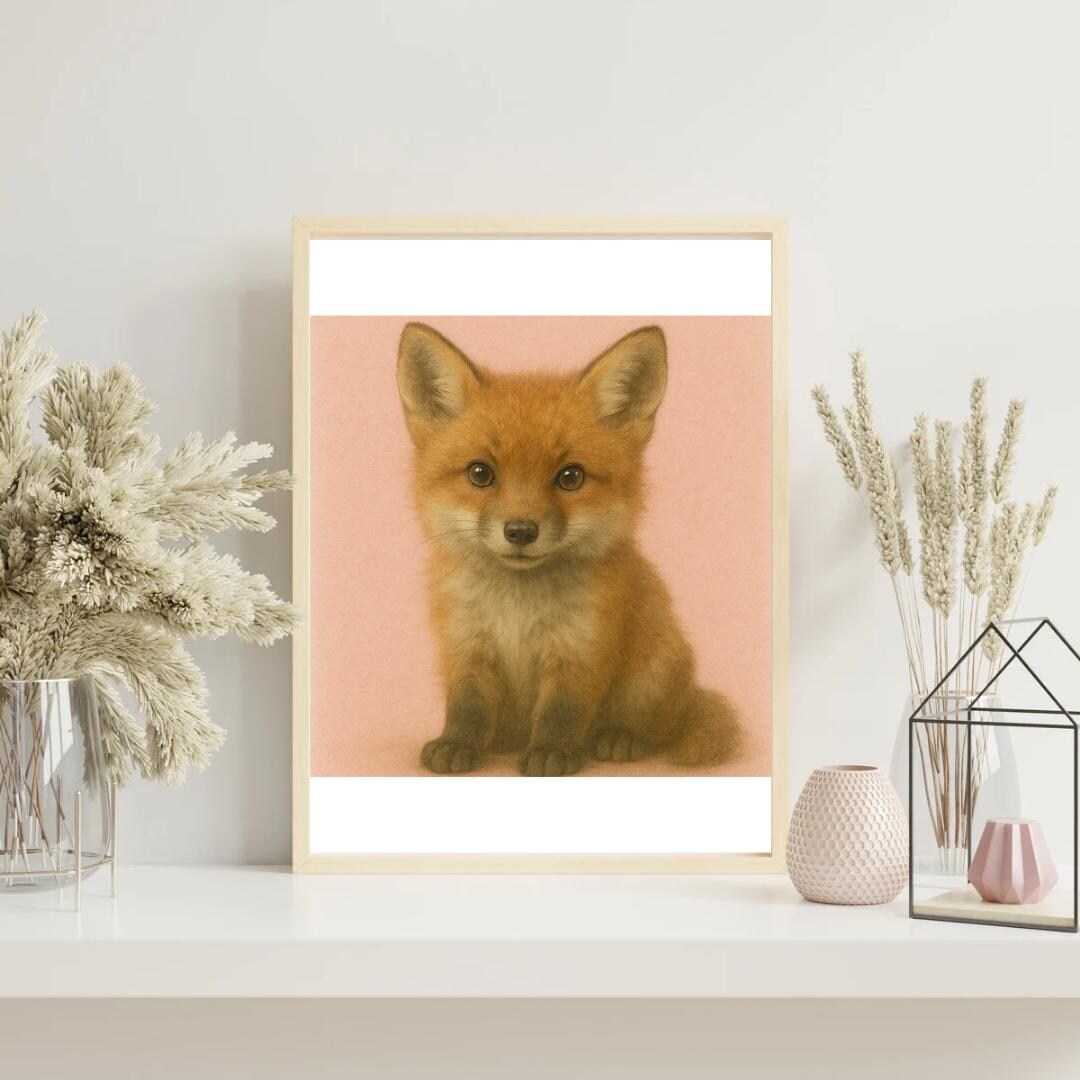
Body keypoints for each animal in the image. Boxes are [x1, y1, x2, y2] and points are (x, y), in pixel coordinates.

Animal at [396, 321, 740, 777]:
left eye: (570, 477)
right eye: (480, 473)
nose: (520, 531)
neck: (517, 605)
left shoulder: (580, 649)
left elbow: (562, 711)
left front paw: (550, 753)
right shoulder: (465, 644)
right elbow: (467, 706)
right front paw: (457, 744)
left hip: (653, 672)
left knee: (652, 726)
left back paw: (618, 737)